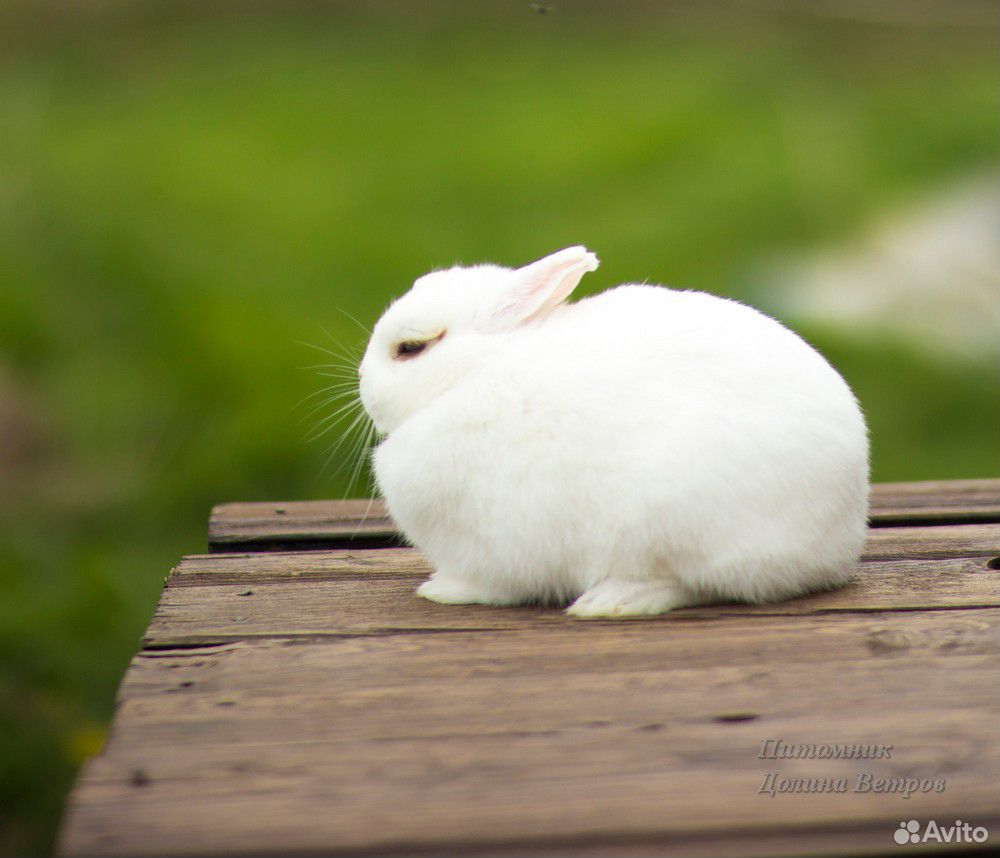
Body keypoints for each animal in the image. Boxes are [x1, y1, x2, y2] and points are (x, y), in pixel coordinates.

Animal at [358, 246, 869, 618]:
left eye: (410, 348)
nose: (362, 382)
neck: (473, 373)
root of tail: (840, 543)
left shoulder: (494, 546)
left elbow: (487, 583)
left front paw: (441, 590)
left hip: (672, 521)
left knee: (690, 584)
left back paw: (611, 602)